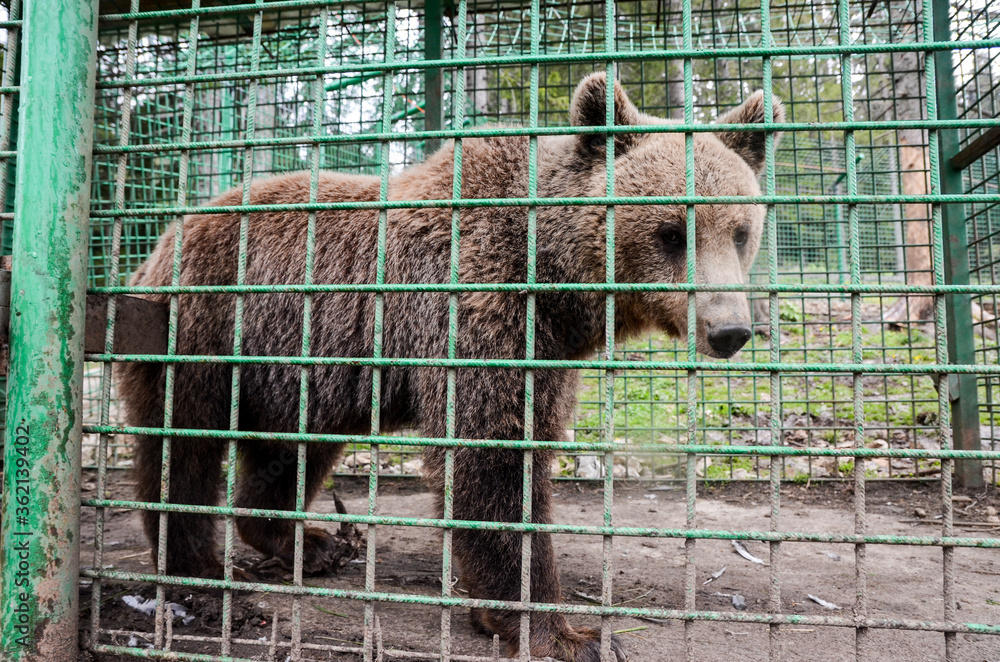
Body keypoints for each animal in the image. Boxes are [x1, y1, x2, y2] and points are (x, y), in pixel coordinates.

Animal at [116, 72, 783, 662]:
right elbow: (490, 464)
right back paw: (198, 569)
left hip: (296, 374)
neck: (551, 277)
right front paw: (566, 633)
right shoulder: (478, 311)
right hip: (206, 333)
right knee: (184, 449)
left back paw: (310, 542)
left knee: (288, 453)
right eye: (672, 232)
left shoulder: (548, 350)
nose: (730, 330)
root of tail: (160, 242)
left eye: (740, 231)